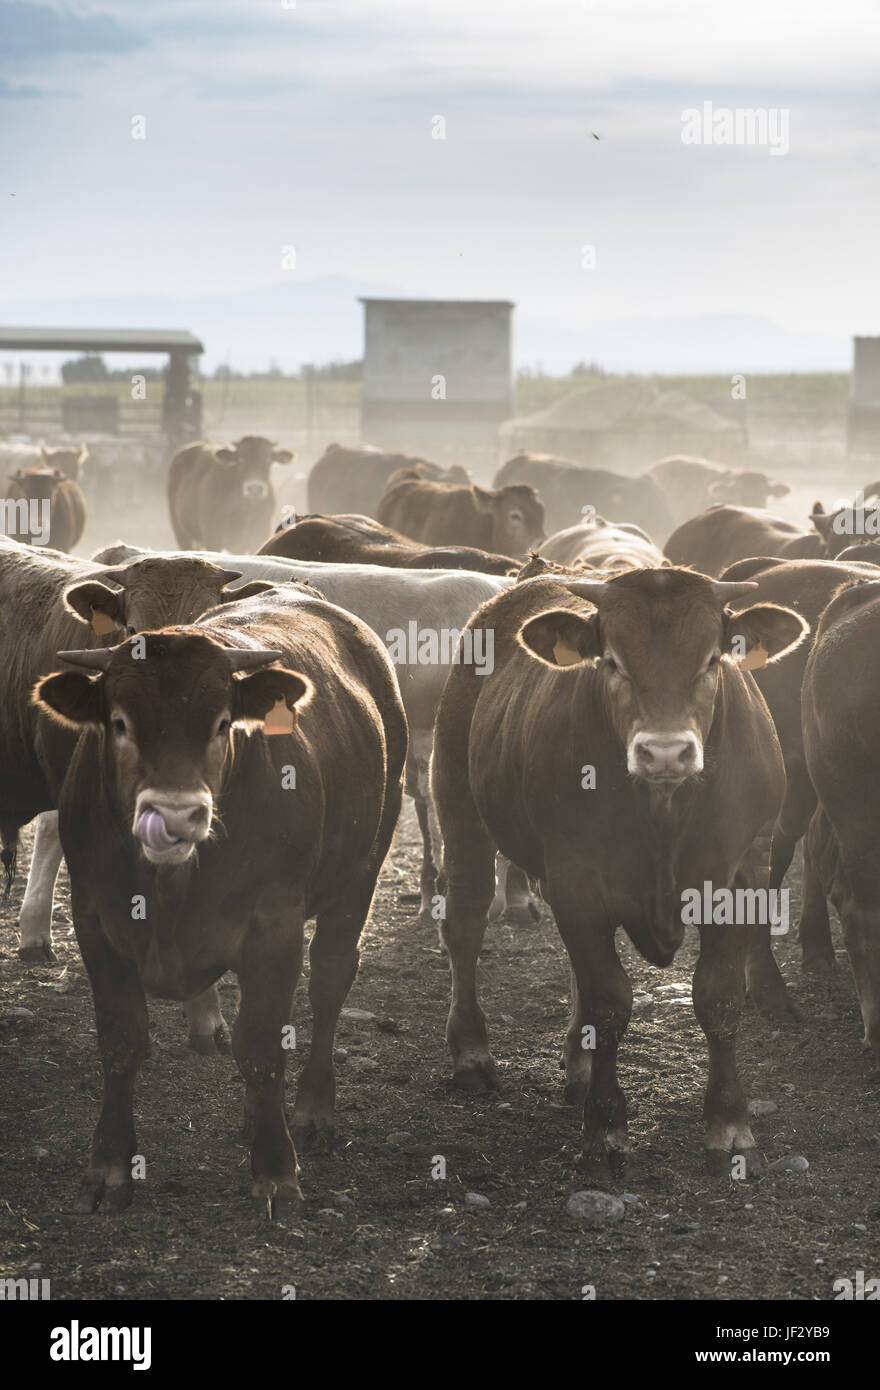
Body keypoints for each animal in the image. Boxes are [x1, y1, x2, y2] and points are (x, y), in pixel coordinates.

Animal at [33, 584, 407, 1213]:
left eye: (223, 723)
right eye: (119, 722)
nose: (177, 815)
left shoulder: (275, 925)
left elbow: (261, 1047)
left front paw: (276, 1167)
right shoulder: (93, 919)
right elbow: (120, 1042)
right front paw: (109, 1165)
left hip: (362, 869)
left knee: (331, 978)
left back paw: (312, 1110)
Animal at [430, 567, 808, 1174]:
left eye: (712, 660)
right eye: (611, 661)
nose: (665, 752)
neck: (663, 812)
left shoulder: (742, 872)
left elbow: (720, 996)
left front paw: (729, 1122)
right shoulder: (577, 880)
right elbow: (609, 1001)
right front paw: (607, 1126)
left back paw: (577, 1066)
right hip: (459, 802)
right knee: (465, 924)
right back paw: (471, 1054)